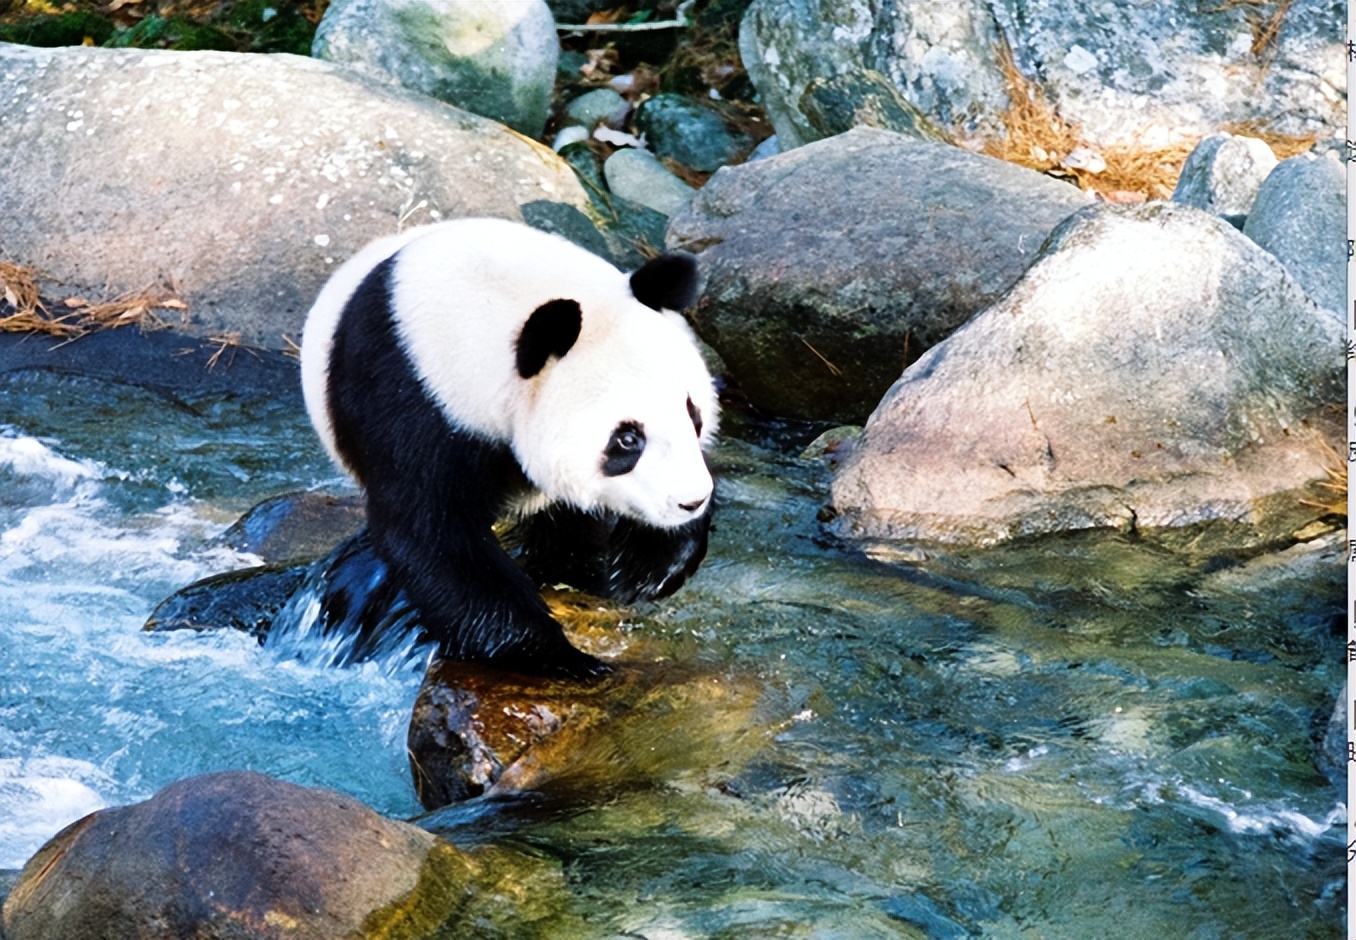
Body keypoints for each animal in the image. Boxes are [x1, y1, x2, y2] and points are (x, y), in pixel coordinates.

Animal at [300, 218, 718, 679]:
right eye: (627, 439)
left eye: (692, 412)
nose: (691, 501)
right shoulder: (412, 398)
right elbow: (435, 538)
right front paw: (566, 657)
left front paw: (642, 570)